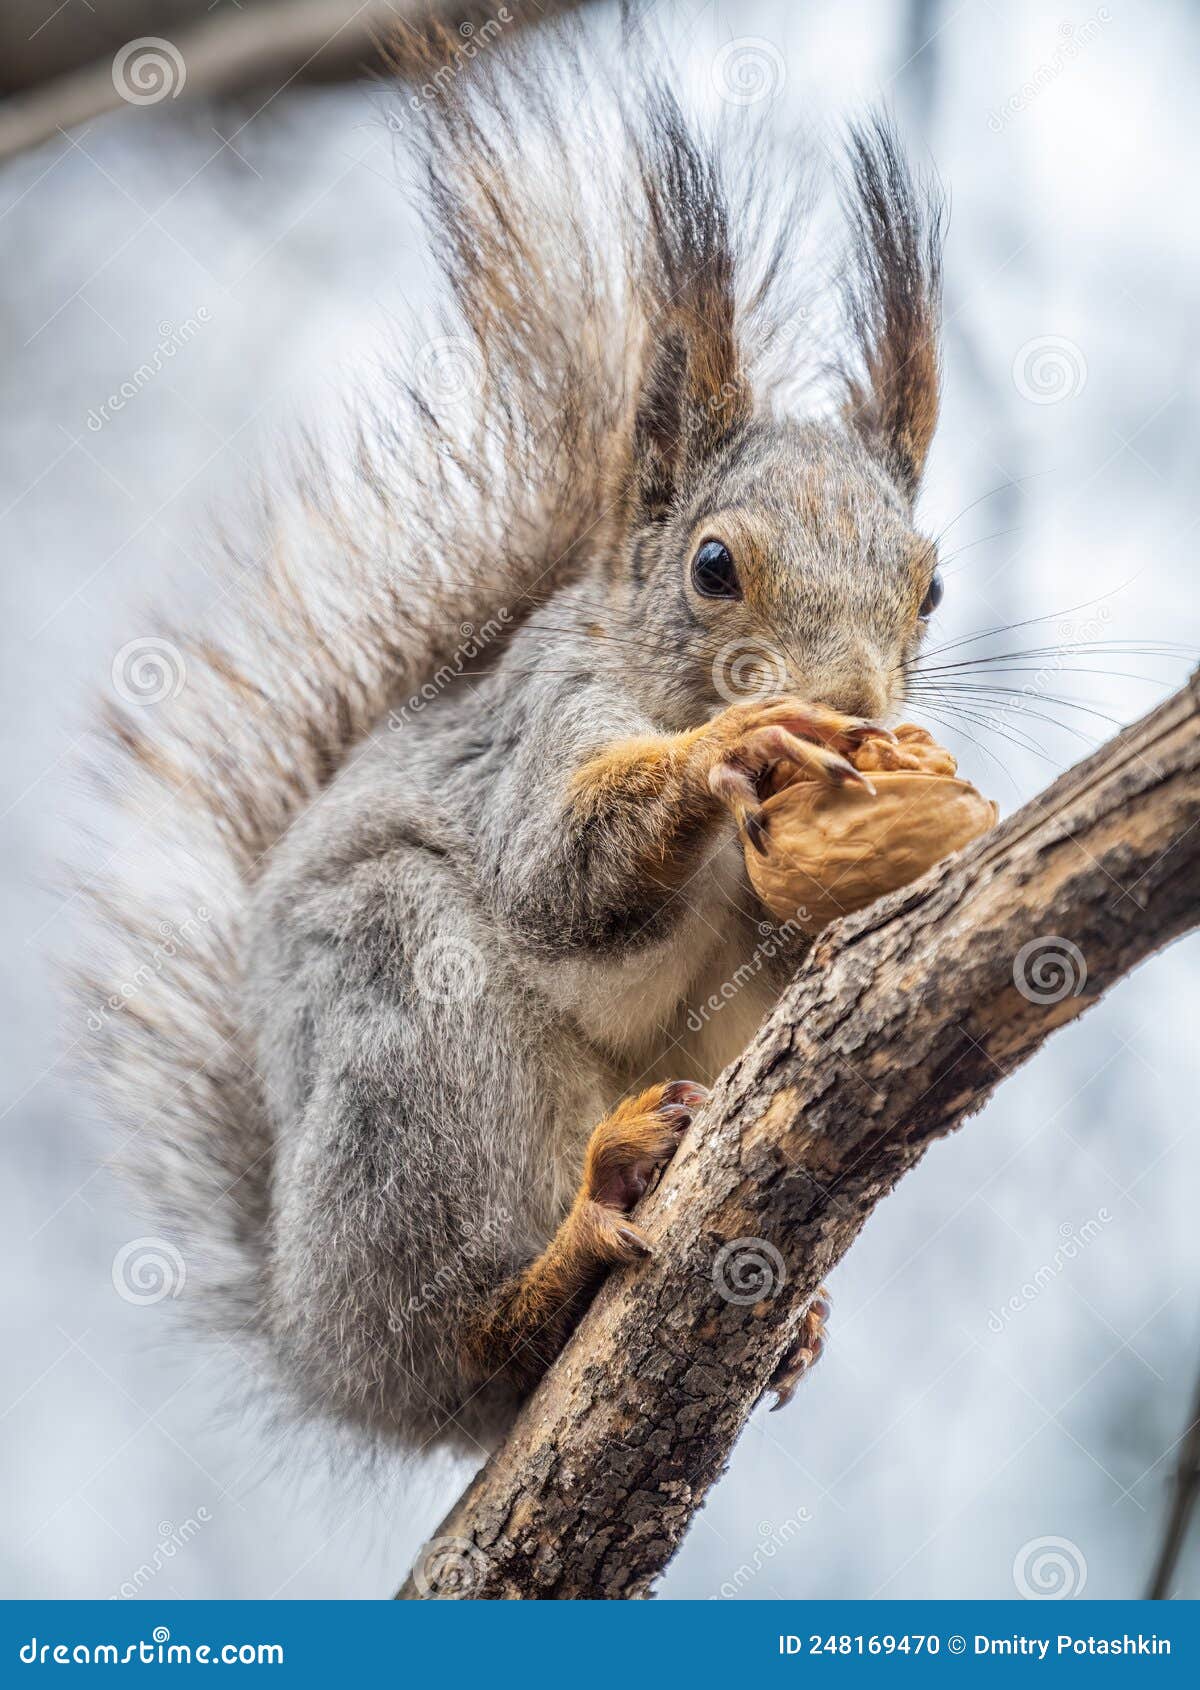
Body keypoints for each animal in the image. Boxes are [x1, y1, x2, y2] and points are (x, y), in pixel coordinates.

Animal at [84, 31, 944, 1456]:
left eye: (932, 589)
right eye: (715, 566)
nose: (862, 709)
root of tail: (312, 1333)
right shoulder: (541, 723)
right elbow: (555, 873)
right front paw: (735, 744)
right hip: (404, 1031)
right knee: (466, 1328)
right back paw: (571, 1242)